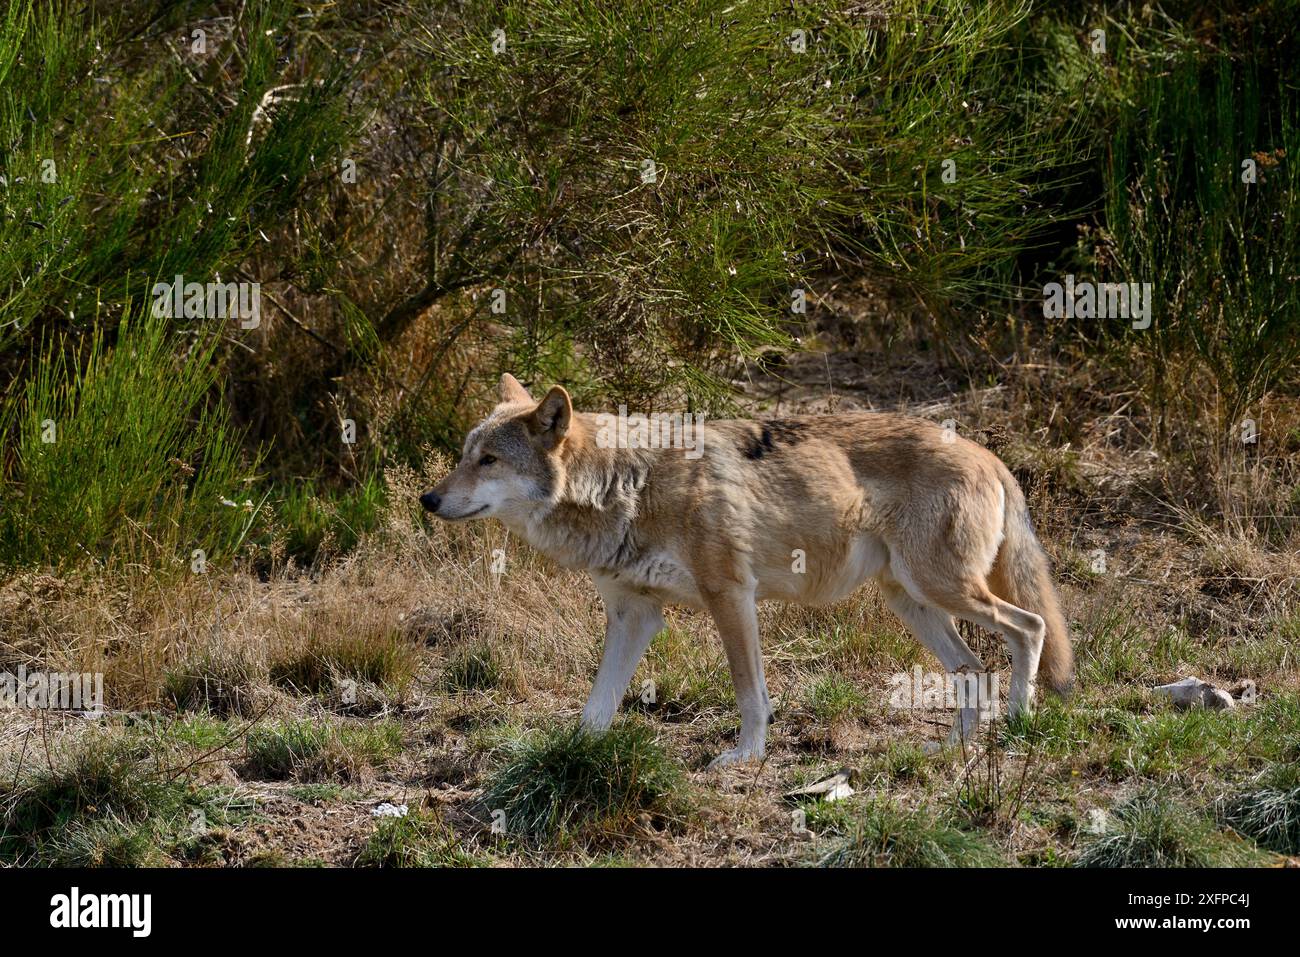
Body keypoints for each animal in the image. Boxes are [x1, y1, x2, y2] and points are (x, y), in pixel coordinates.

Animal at [421, 374, 1073, 767]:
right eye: (464, 456)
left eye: (489, 460)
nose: (428, 499)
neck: (629, 484)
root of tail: (988, 454)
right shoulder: (634, 616)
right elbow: (597, 705)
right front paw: (571, 755)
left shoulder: (731, 595)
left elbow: (750, 692)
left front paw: (745, 758)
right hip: (911, 600)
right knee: (973, 668)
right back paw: (952, 748)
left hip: (942, 590)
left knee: (1030, 627)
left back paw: (1018, 723)